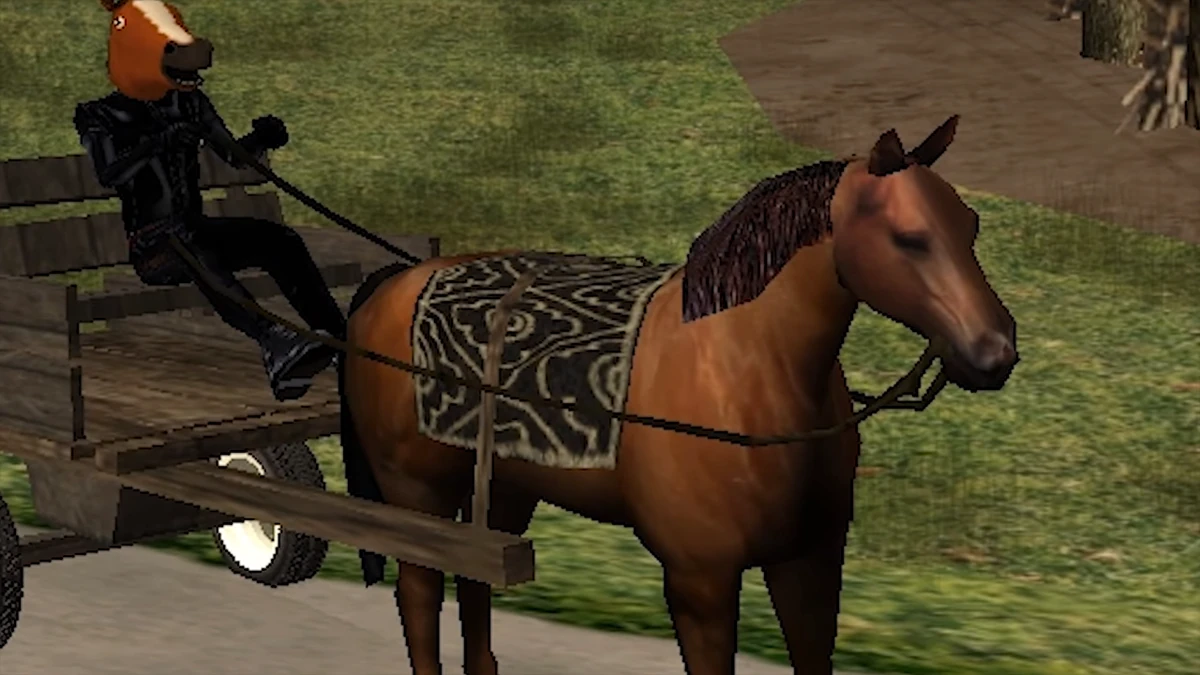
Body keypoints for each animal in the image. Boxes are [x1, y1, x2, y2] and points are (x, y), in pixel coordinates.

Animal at [338, 116, 1018, 675]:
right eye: (909, 238)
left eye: (971, 225)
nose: (996, 352)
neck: (744, 373)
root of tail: (392, 284)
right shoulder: (701, 583)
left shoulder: (811, 563)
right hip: (416, 489)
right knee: (420, 593)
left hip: (504, 488)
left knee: (476, 584)